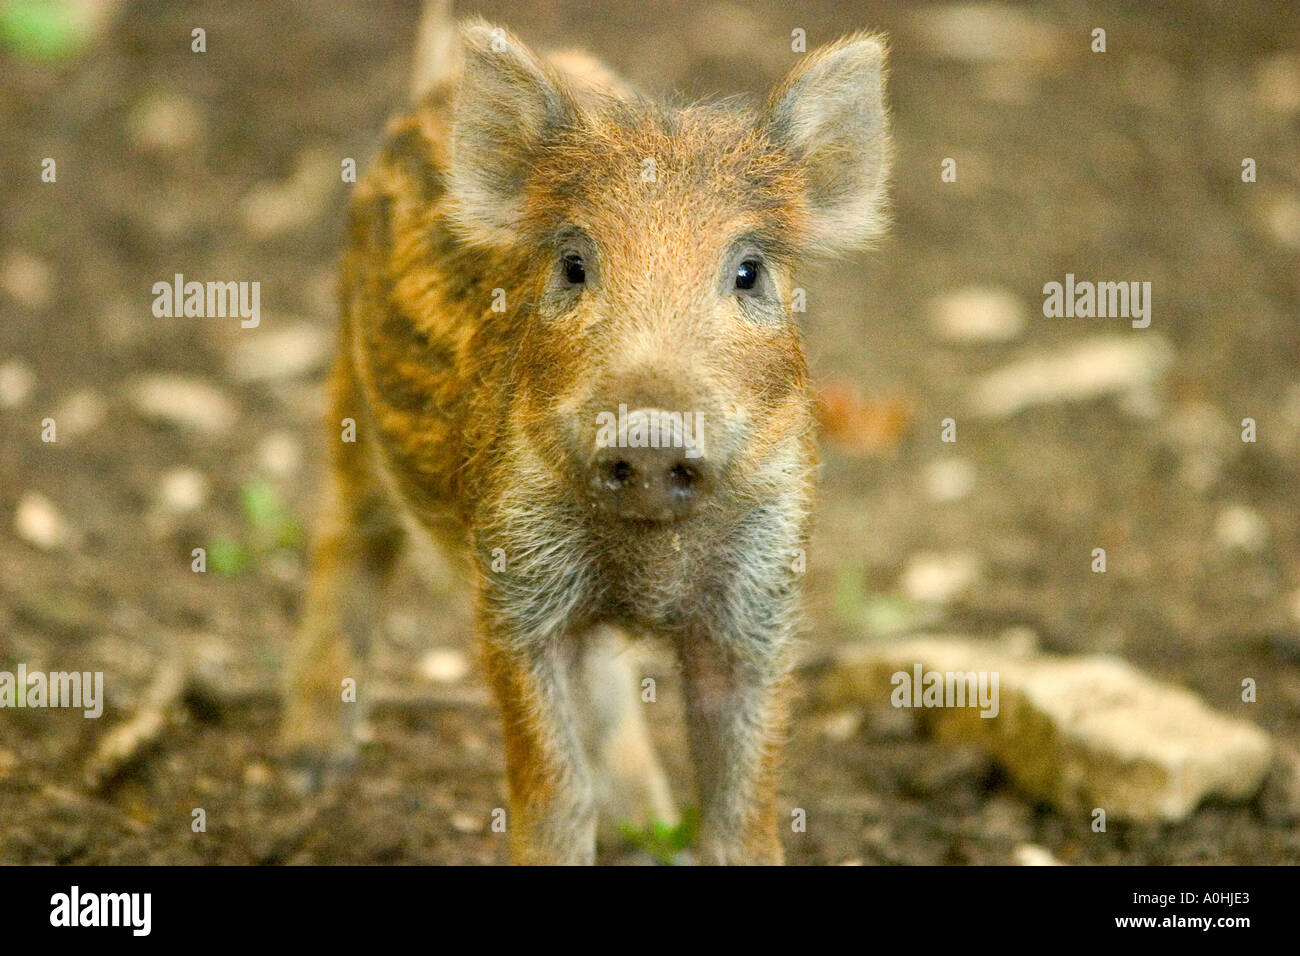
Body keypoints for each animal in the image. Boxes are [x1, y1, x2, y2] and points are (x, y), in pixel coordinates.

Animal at [282, 12, 891, 865]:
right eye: (573, 265)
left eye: (748, 272)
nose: (652, 433)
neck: (646, 557)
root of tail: (435, 84)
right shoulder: (517, 586)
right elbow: (553, 795)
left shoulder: (759, 599)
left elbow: (743, 812)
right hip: (349, 385)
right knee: (347, 536)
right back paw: (310, 772)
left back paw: (646, 823)